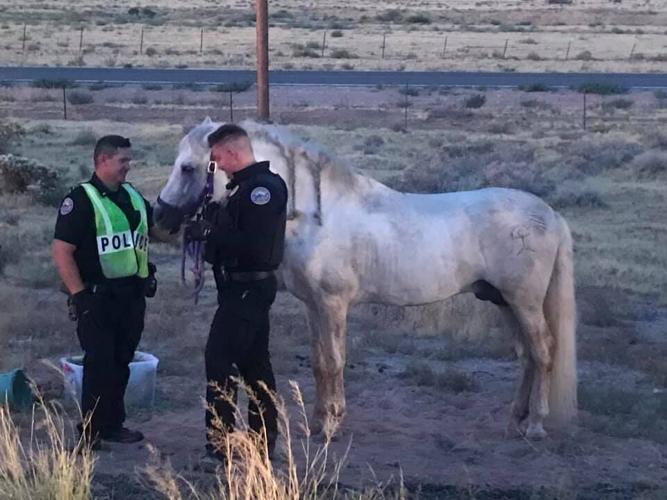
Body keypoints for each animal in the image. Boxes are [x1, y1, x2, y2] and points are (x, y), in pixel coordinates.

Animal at [154, 117, 577, 440]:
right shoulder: (314, 307)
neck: (318, 214)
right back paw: (515, 419)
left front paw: (331, 426)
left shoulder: (333, 304)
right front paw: (318, 423)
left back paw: (536, 425)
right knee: (527, 357)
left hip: (524, 302)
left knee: (543, 352)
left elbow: (334, 361)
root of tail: (550, 215)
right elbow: (319, 362)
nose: (161, 218)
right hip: (504, 301)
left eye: (188, 167)